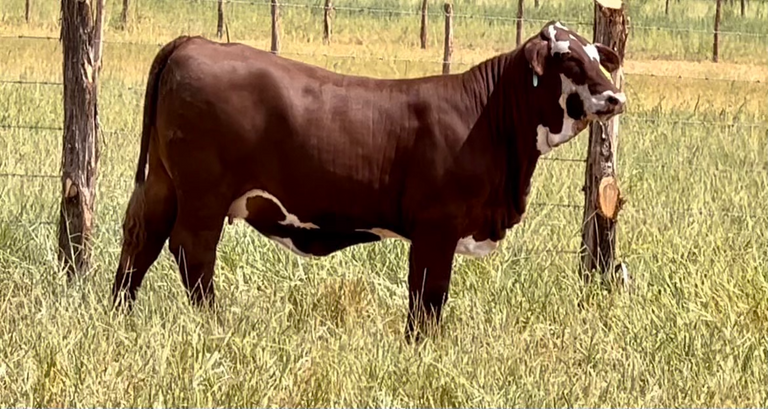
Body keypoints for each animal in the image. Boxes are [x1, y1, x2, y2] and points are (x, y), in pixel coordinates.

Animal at [112, 20, 626, 341]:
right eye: (567, 59)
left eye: (596, 57)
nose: (615, 97)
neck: (488, 118)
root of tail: (196, 42)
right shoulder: (436, 227)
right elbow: (428, 295)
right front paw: (421, 347)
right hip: (204, 195)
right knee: (191, 251)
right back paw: (215, 322)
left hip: (163, 183)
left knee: (141, 239)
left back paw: (120, 314)